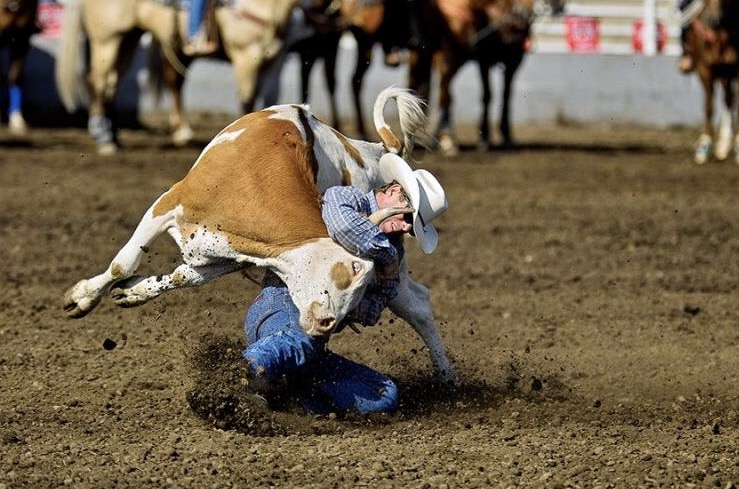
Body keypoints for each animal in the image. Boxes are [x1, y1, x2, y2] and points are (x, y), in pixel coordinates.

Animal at [64, 86, 458, 384]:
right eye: (351, 270)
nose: (328, 325)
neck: (249, 183)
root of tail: (380, 150)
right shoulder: (174, 208)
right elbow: (129, 266)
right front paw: (89, 297)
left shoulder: (221, 258)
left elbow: (172, 276)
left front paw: (115, 293)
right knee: (418, 301)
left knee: (418, 304)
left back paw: (447, 379)